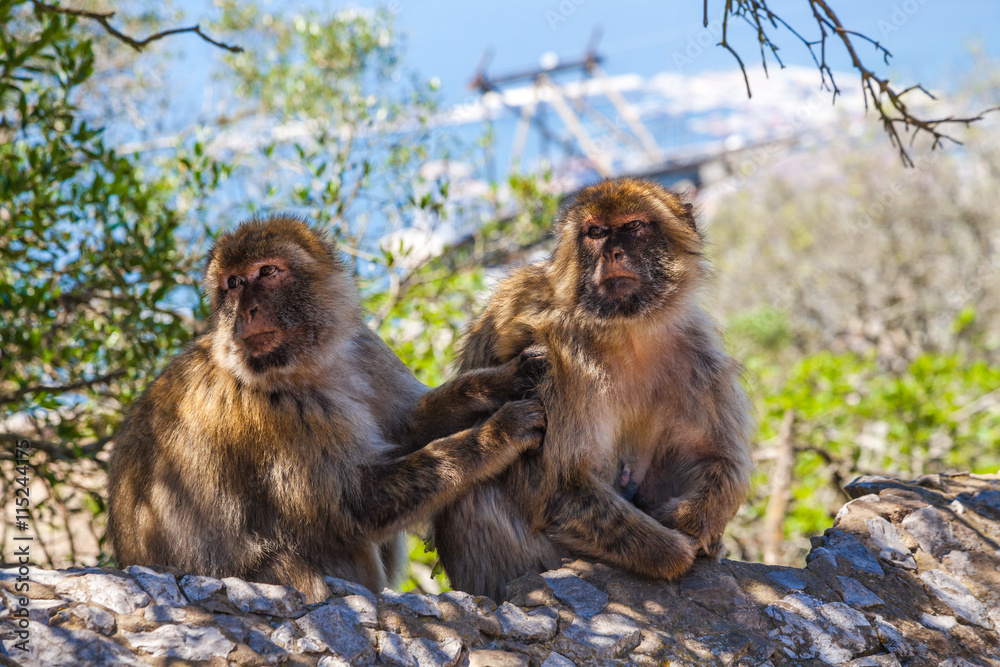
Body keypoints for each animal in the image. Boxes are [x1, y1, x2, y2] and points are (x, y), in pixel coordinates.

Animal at [106, 215, 548, 603]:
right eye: (232, 284)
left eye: (266, 272)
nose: (245, 310)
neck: (309, 365)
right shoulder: (275, 411)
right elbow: (350, 505)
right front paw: (498, 433)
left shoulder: (365, 349)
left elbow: (409, 426)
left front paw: (502, 380)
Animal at [433, 177, 754, 601]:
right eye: (596, 232)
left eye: (633, 226)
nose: (613, 252)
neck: (627, 330)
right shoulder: (555, 355)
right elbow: (556, 484)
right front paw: (673, 551)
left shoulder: (699, 354)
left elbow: (719, 459)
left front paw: (686, 522)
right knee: (475, 491)